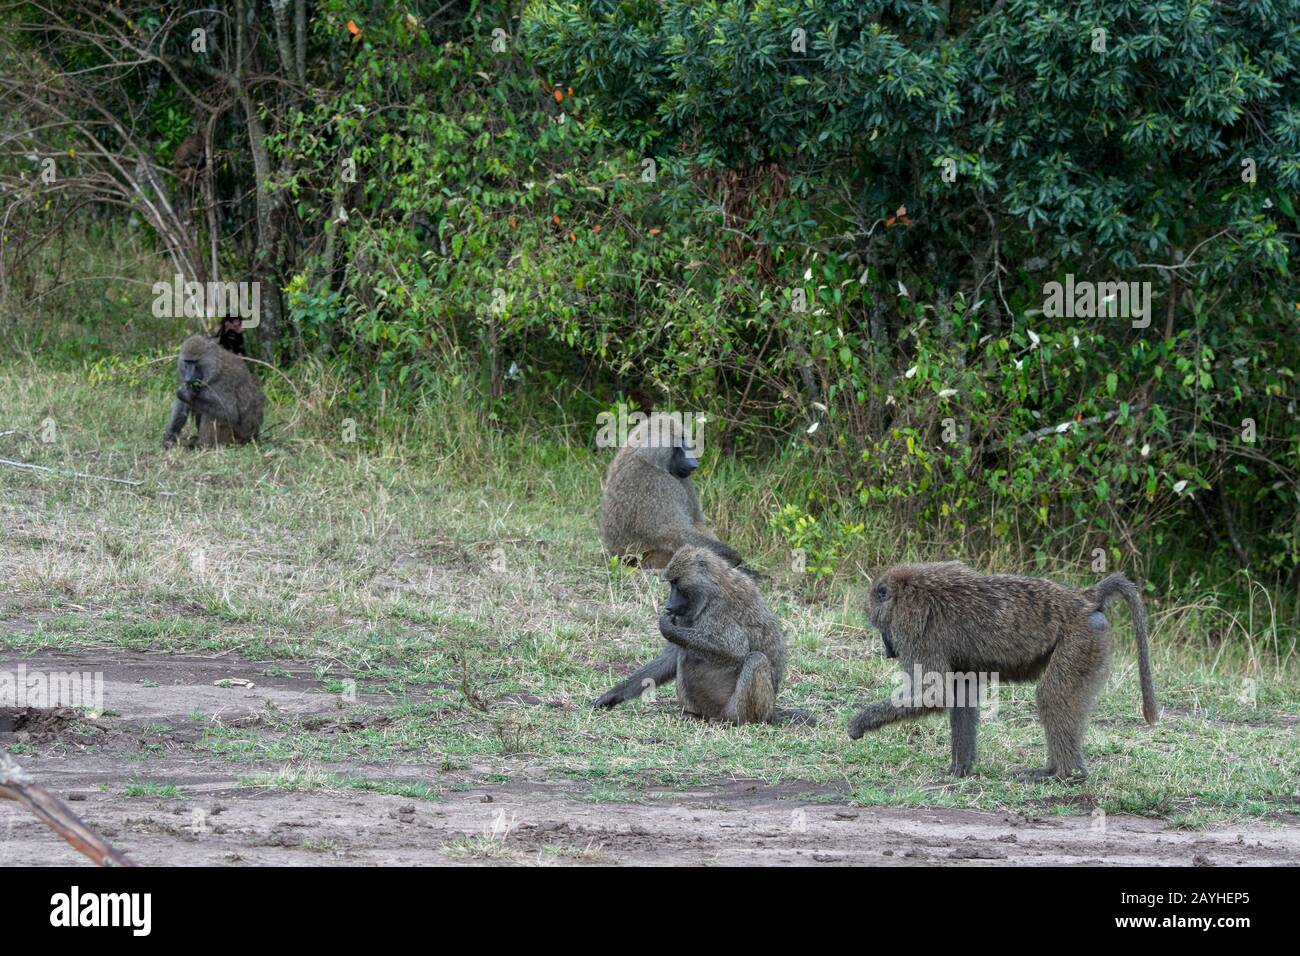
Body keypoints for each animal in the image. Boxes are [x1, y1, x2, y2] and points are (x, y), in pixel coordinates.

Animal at [593, 546, 788, 724]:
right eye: (671, 583)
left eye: (676, 583)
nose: (669, 606)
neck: (710, 587)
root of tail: (771, 712)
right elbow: (671, 657)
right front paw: (612, 696)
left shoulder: (719, 608)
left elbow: (735, 650)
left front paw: (668, 628)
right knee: (684, 651)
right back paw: (691, 714)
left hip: (752, 709)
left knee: (756, 659)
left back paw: (734, 721)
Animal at [599, 413, 759, 575]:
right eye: (679, 443)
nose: (694, 463)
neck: (646, 456)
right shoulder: (658, 484)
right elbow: (674, 533)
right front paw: (735, 558)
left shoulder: (681, 478)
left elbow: (696, 521)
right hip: (649, 559)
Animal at [847, 562, 1159, 780]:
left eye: (880, 626)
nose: (888, 651)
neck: (906, 591)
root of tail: (1085, 599)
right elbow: (961, 695)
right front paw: (959, 769)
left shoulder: (913, 630)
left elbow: (934, 694)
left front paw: (858, 723)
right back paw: (1054, 770)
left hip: (1081, 640)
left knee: (1051, 694)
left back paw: (1062, 775)